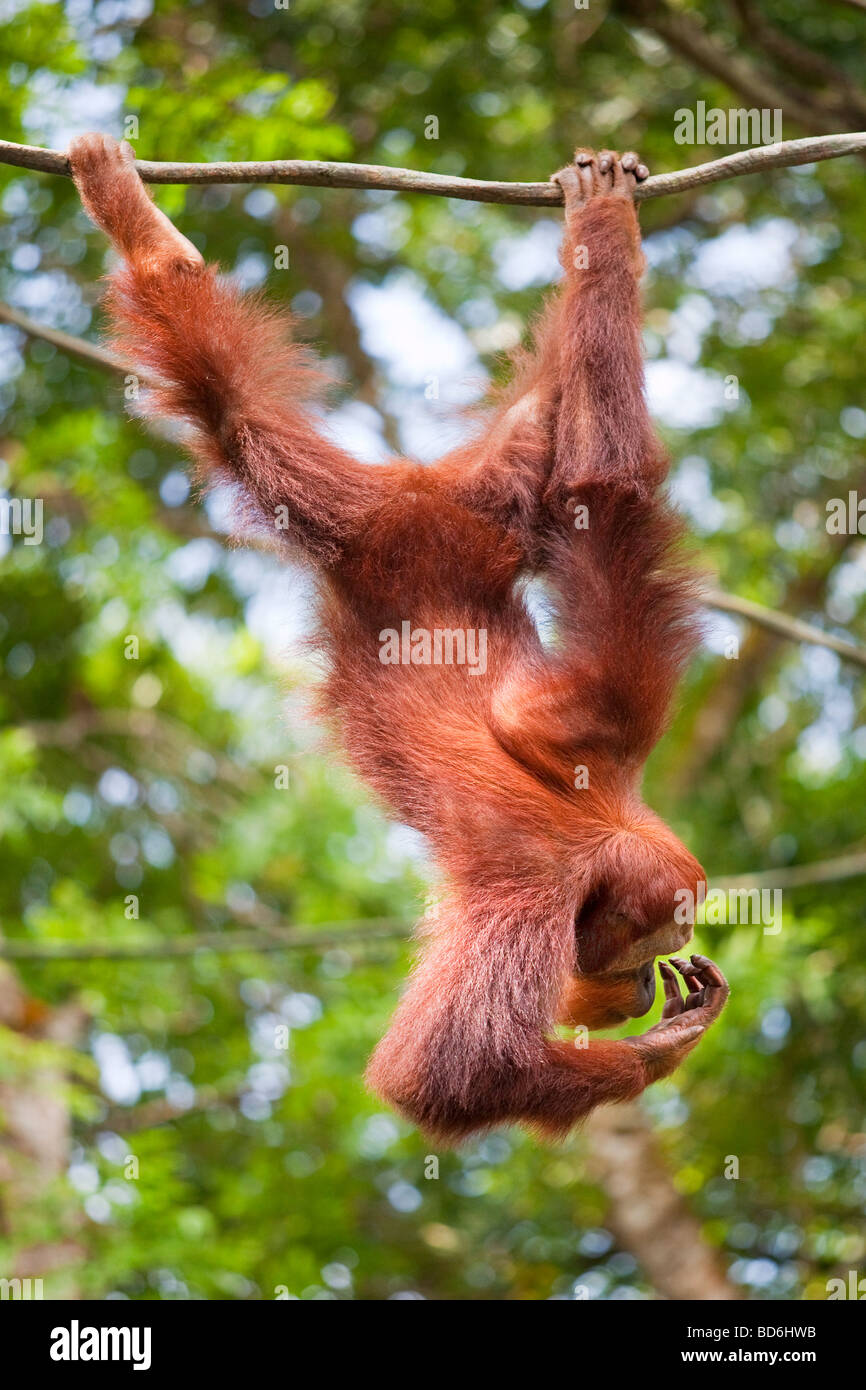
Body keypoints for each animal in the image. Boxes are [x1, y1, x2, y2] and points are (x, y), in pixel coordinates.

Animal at [68, 134, 728, 1142]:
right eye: (652, 939)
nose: (628, 983)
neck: (612, 822)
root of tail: (418, 494)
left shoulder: (615, 757)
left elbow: (604, 501)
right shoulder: (534, 887)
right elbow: (448, 1069)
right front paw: (670, 1040)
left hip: (482, 499)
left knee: (546, 431)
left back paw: (594, 232)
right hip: (357, 517)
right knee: (233, 406)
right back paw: (149, 237)